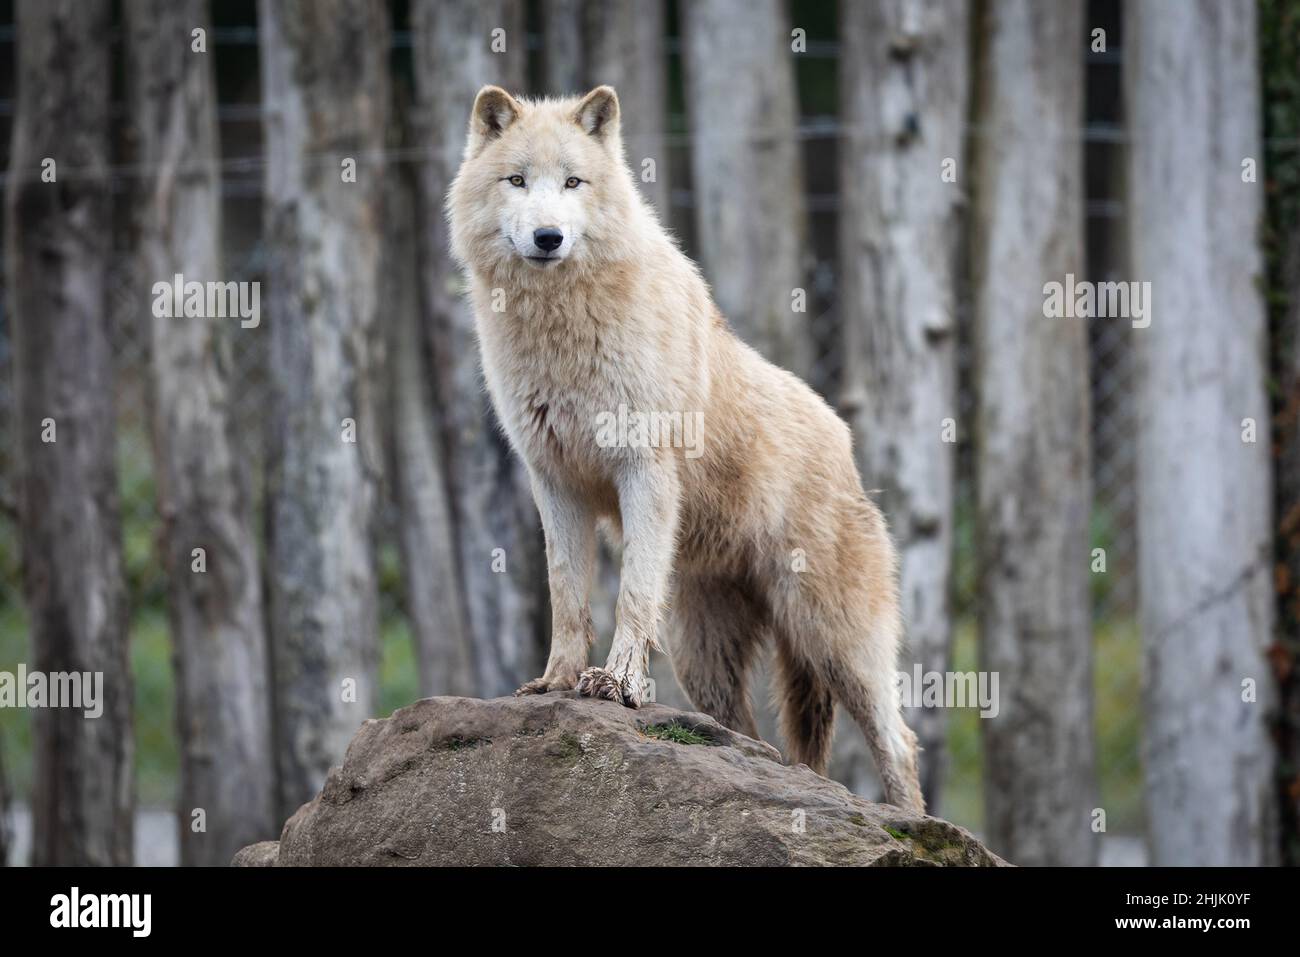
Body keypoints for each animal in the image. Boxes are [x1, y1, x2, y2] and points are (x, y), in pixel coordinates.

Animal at [447, 85, 924, 811]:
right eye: (518, 181)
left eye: (573, 182)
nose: (548, 237)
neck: (560, 330)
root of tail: (845, 444)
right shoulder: (553, 481)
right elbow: (567, 594)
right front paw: (556, 681)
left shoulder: (643, 471)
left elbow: (630, 595)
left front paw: (617, 684)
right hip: (711, 660)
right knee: (749, 738)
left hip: (833, 640)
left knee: (898, 743)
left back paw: (912, 822)